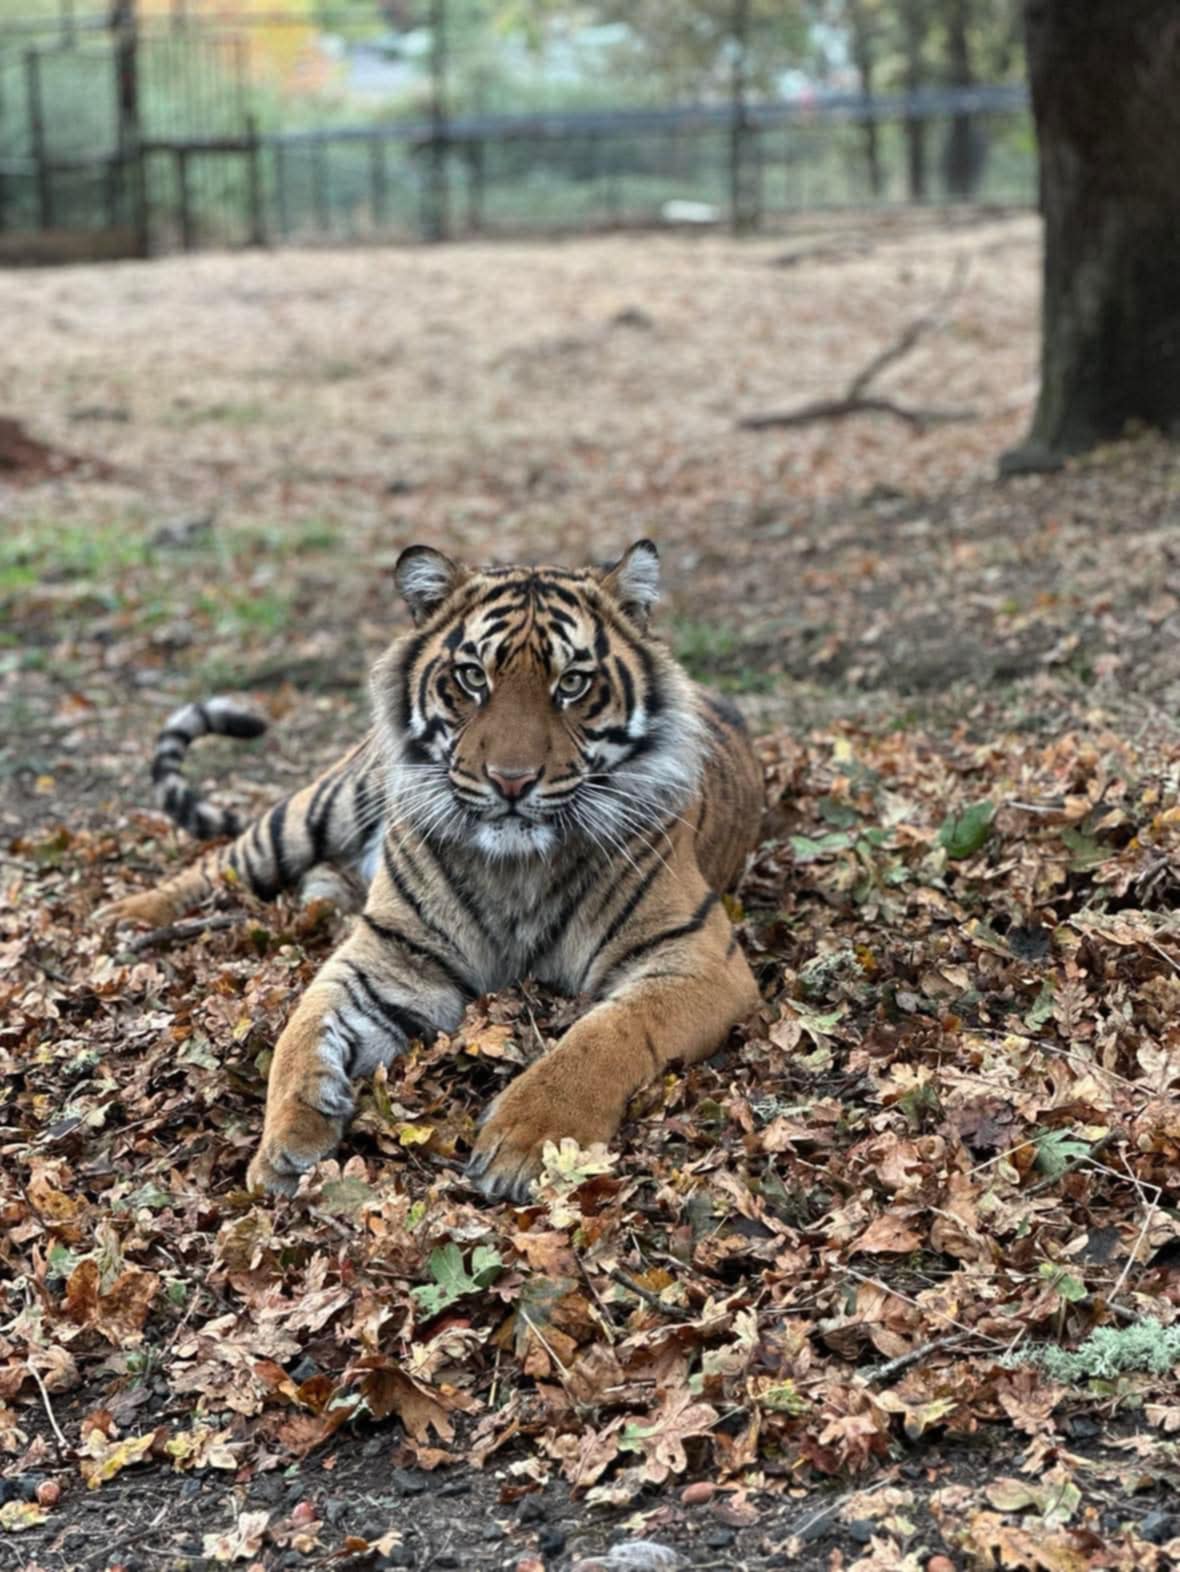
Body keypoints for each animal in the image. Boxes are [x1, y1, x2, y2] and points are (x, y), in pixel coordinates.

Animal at [101, 540, 765, 1201]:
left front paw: (528, 1140)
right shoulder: (392, 955)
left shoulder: (700, 960)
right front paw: (286, 1138)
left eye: (573, 683)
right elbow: (300, 1028)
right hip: (324, 805)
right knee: (226, 860)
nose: (512, 781)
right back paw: (127, 915)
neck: (516, 868)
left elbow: (605, 1036)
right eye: (473, 677)